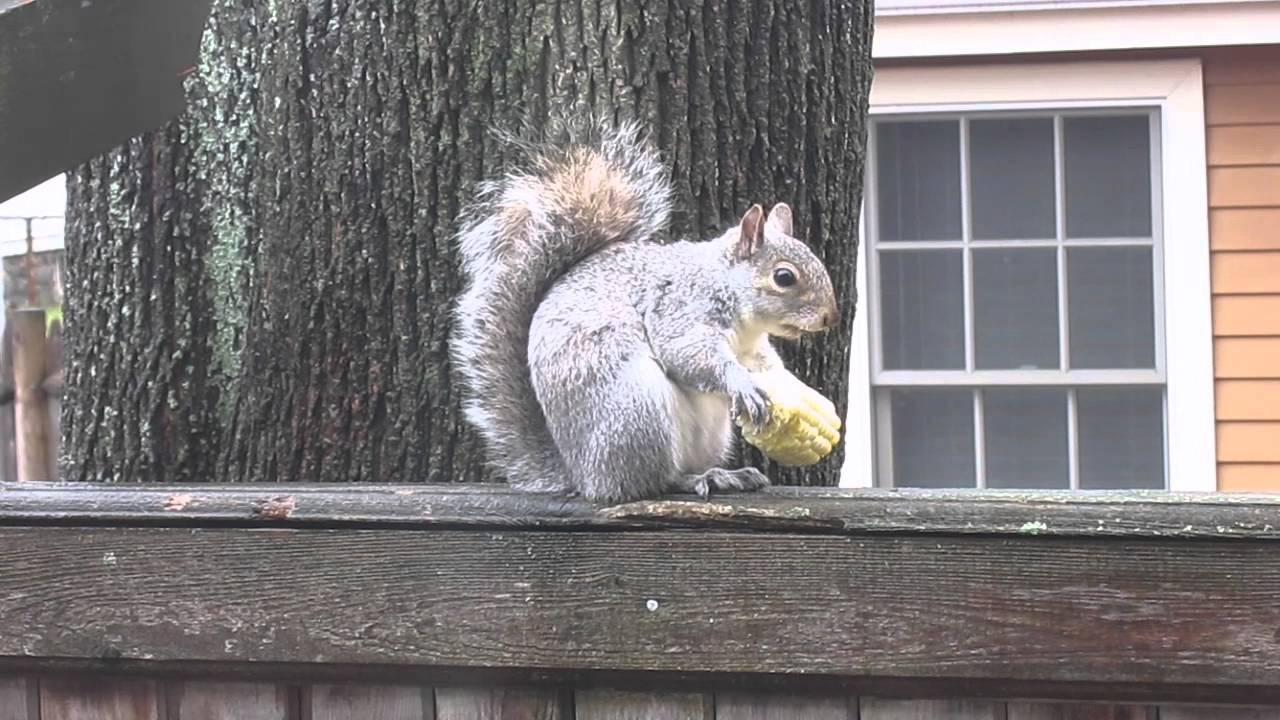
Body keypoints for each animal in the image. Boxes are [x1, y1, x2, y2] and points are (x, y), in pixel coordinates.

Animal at [450, 122, 839, 505]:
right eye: (784, 277)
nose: (829, 318)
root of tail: (582, 474)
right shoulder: (680, 309)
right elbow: (689, 353)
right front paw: (741, 384)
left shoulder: (752, 348)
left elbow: (767, 366)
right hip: (637, 412)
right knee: (646, 483)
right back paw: (691, 480)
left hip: (705, 432)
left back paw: (726, 475)